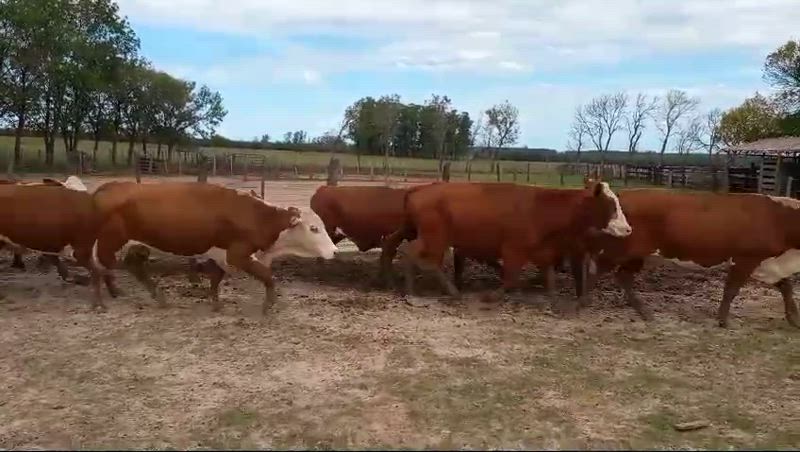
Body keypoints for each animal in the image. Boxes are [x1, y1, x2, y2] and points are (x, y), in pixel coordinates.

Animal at [90, 181, 337, 314]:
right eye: (314, 228)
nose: (335, 251)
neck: (259, 217)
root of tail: (107, 187)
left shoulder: (222, 255)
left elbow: (216, 279)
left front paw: (216, 304)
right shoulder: (238, 255)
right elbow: (268, 277)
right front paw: (268, 307)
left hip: (134, 245)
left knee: (132, 266)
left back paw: (157, 297)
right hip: (108, 242)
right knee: (99, 267)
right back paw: (101, 303)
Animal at [395, 181, 632, 305]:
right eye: (611, 205)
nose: (628, 229)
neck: (540, 207)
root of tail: (418, 189)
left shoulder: (540, 250)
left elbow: (548, 276)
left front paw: (552, 299)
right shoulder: (513, 250)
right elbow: (510, 277)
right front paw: (492, 295)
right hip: (434, 239)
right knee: (416, 256)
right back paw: (424, 292)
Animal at [577, 181, 800, 328]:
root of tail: (622, 195)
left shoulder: (769, 264)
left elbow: (786, 287)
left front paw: (794, 319)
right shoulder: (745, 259)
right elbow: (731, 290)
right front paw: (723, 320)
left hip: (636, 255)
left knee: (622, 277)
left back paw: (644, 312)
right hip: (619, 249)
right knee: (598, 270)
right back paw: (583, 302)